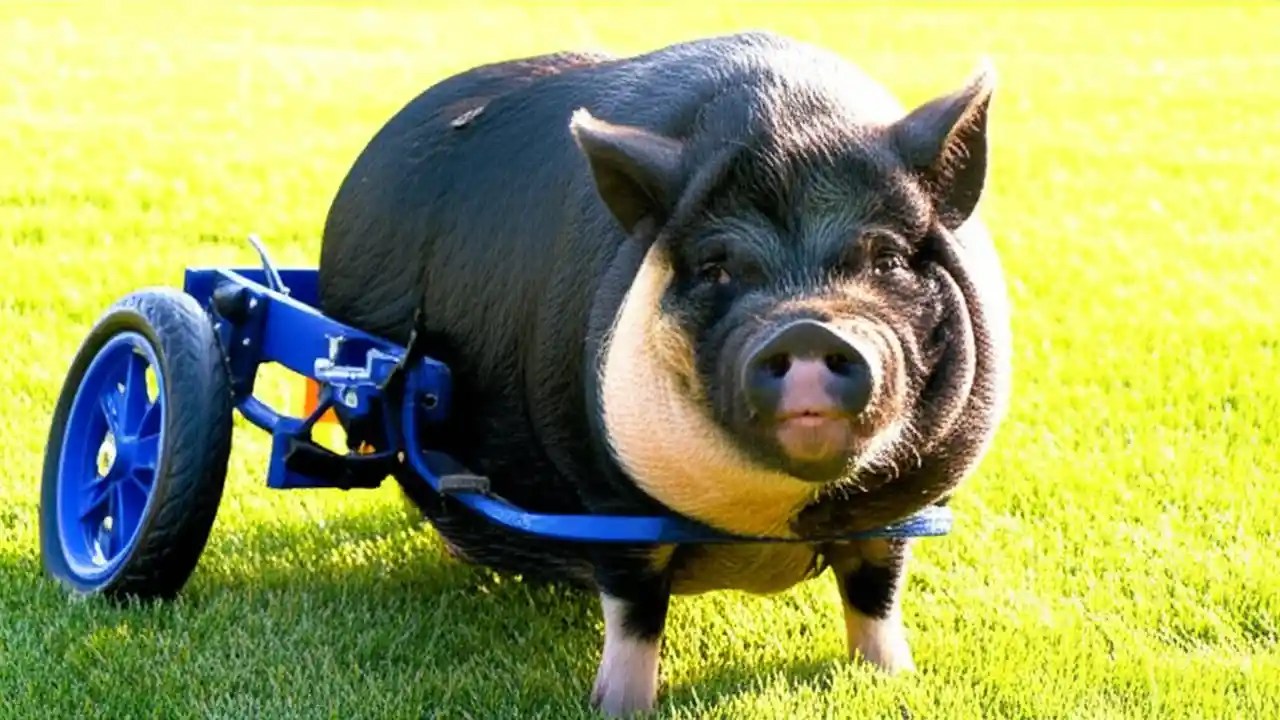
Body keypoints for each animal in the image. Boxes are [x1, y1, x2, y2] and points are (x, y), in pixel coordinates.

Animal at [317, 31, 1011, 716]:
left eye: (886, 257)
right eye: (714, 267)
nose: (807, 327)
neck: (770, 526)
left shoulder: (906, 513)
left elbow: (877, 590)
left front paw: (891, 679)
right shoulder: (606, 498)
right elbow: (634, 613)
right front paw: (618, 707)